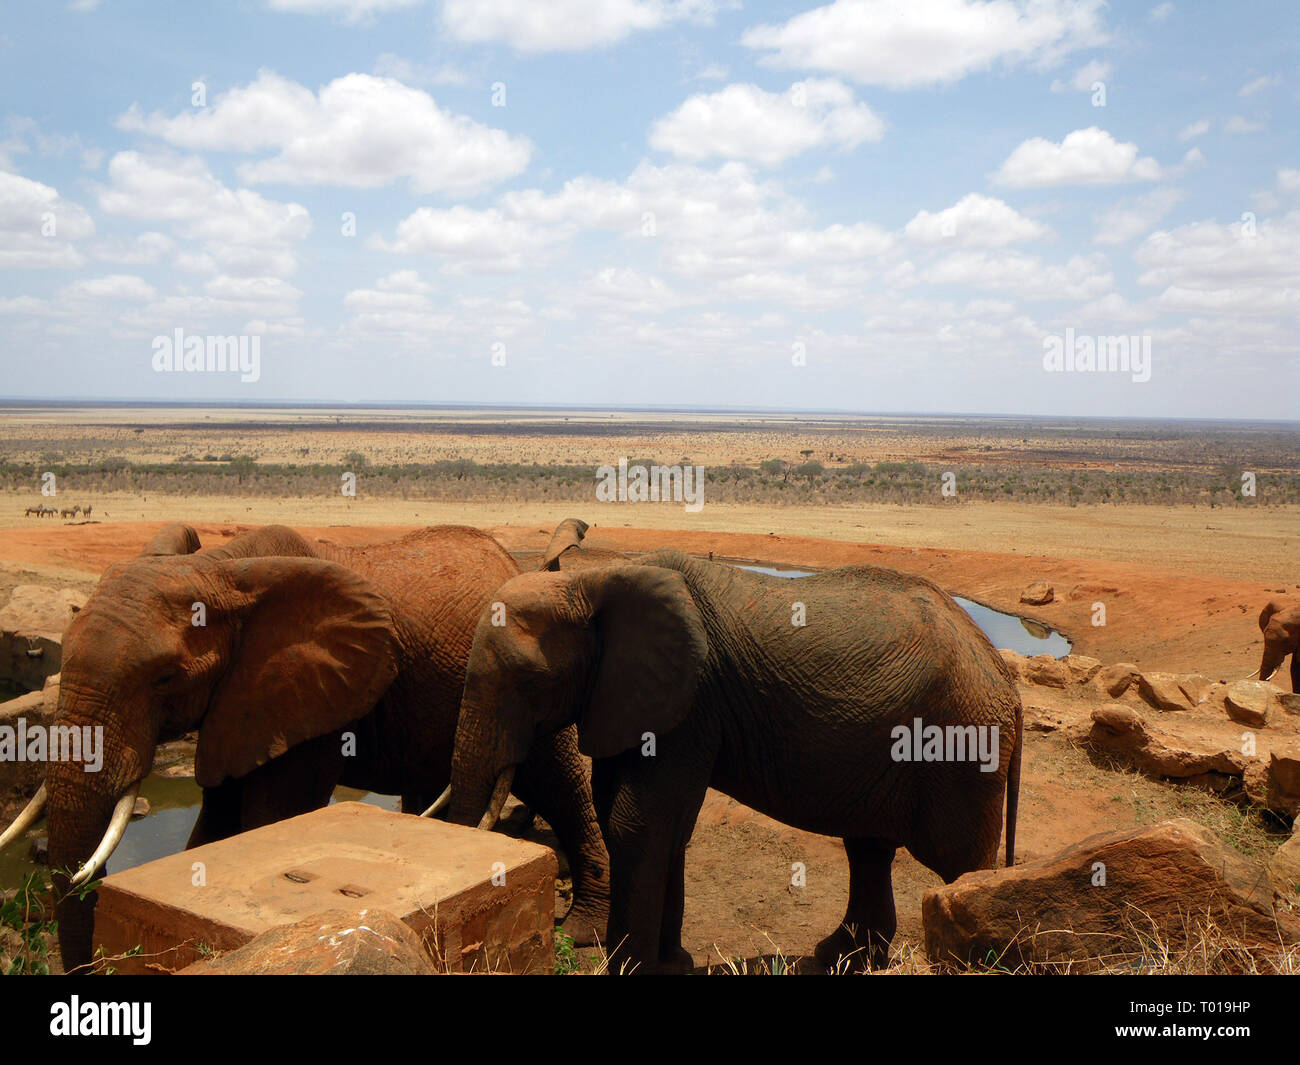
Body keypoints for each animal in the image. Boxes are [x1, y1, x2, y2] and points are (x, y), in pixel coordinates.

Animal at [0, 521, 610, 972]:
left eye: (164, 679)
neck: (221, 572)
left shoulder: (307, 700)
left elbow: (271, 814)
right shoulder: (241, 702)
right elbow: (216, 822)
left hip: (531, 681)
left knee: (559, 783)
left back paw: (584, 933)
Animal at [446, 550, 1023, 974]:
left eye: (527, 682)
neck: (587, 581)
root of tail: (1005, 678)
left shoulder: (691, 700)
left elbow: (638, 821)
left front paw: (636, 969)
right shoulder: (630, 698)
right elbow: (644, 820)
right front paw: (671, 965)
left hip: (959, 744)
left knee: (956, 862)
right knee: (869, 849)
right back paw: (841, 958)